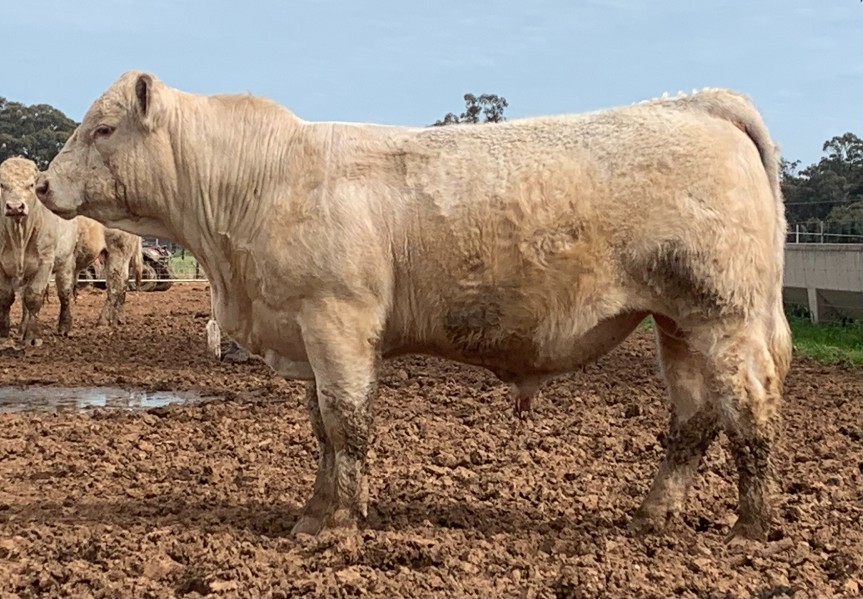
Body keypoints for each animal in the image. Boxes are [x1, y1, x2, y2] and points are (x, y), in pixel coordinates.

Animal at [0, 156, 141, 344]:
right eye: (2, 184)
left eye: (31, 185)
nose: (15, 207)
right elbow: (8, 297)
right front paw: (9, 334)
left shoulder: (48, 262)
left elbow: (38, 296)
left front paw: (35, 336)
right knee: (123, 283)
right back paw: (118, 318)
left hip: (118, 252)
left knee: (114, 285)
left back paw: (103, 321)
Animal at [37, 71, 792, 542]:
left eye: (103, 128)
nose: (42, 184)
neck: (258, 183)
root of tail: (694, 104)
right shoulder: (307, 334)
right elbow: (321, 428)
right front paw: (315, 511)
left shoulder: (336, 322)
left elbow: (347, 425)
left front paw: (340, 523)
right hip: (677, 323)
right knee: (693, 420)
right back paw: (652, 517)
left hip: (723, 317)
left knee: (748, 411)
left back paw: (750, 528)